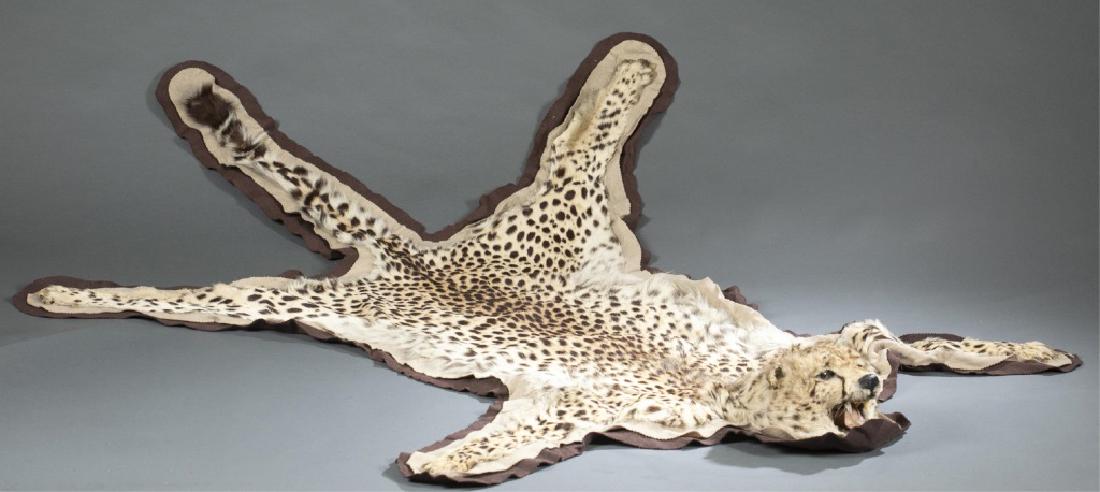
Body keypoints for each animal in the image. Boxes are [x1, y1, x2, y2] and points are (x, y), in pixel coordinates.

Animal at [16, 33, 1079, 484]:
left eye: (857, 368)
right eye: (826, 378)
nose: (865, 385)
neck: (733, 383)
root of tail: (426, 257)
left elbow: (947, 342)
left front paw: (1039, 353)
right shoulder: (571, 407)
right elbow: (508, 438)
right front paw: (443, 462)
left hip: (559, 222)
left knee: (581, 131)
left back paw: (631, 62)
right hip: (299, 304)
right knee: (190, 296)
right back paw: (64, 294)